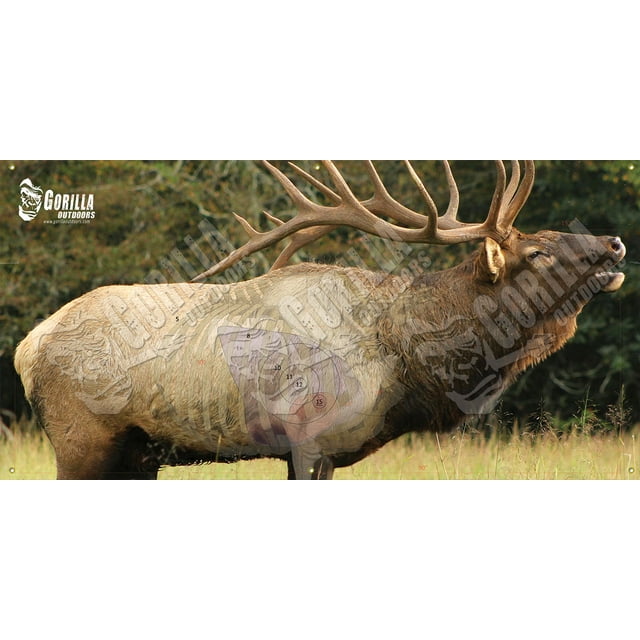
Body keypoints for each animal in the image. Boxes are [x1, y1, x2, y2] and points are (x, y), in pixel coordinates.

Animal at [14, 161, 626, 479]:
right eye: (538, 252)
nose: (615, 243)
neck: (407, 367)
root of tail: (26, 347)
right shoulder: (310, 436)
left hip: (139, 455)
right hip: (81, 441)